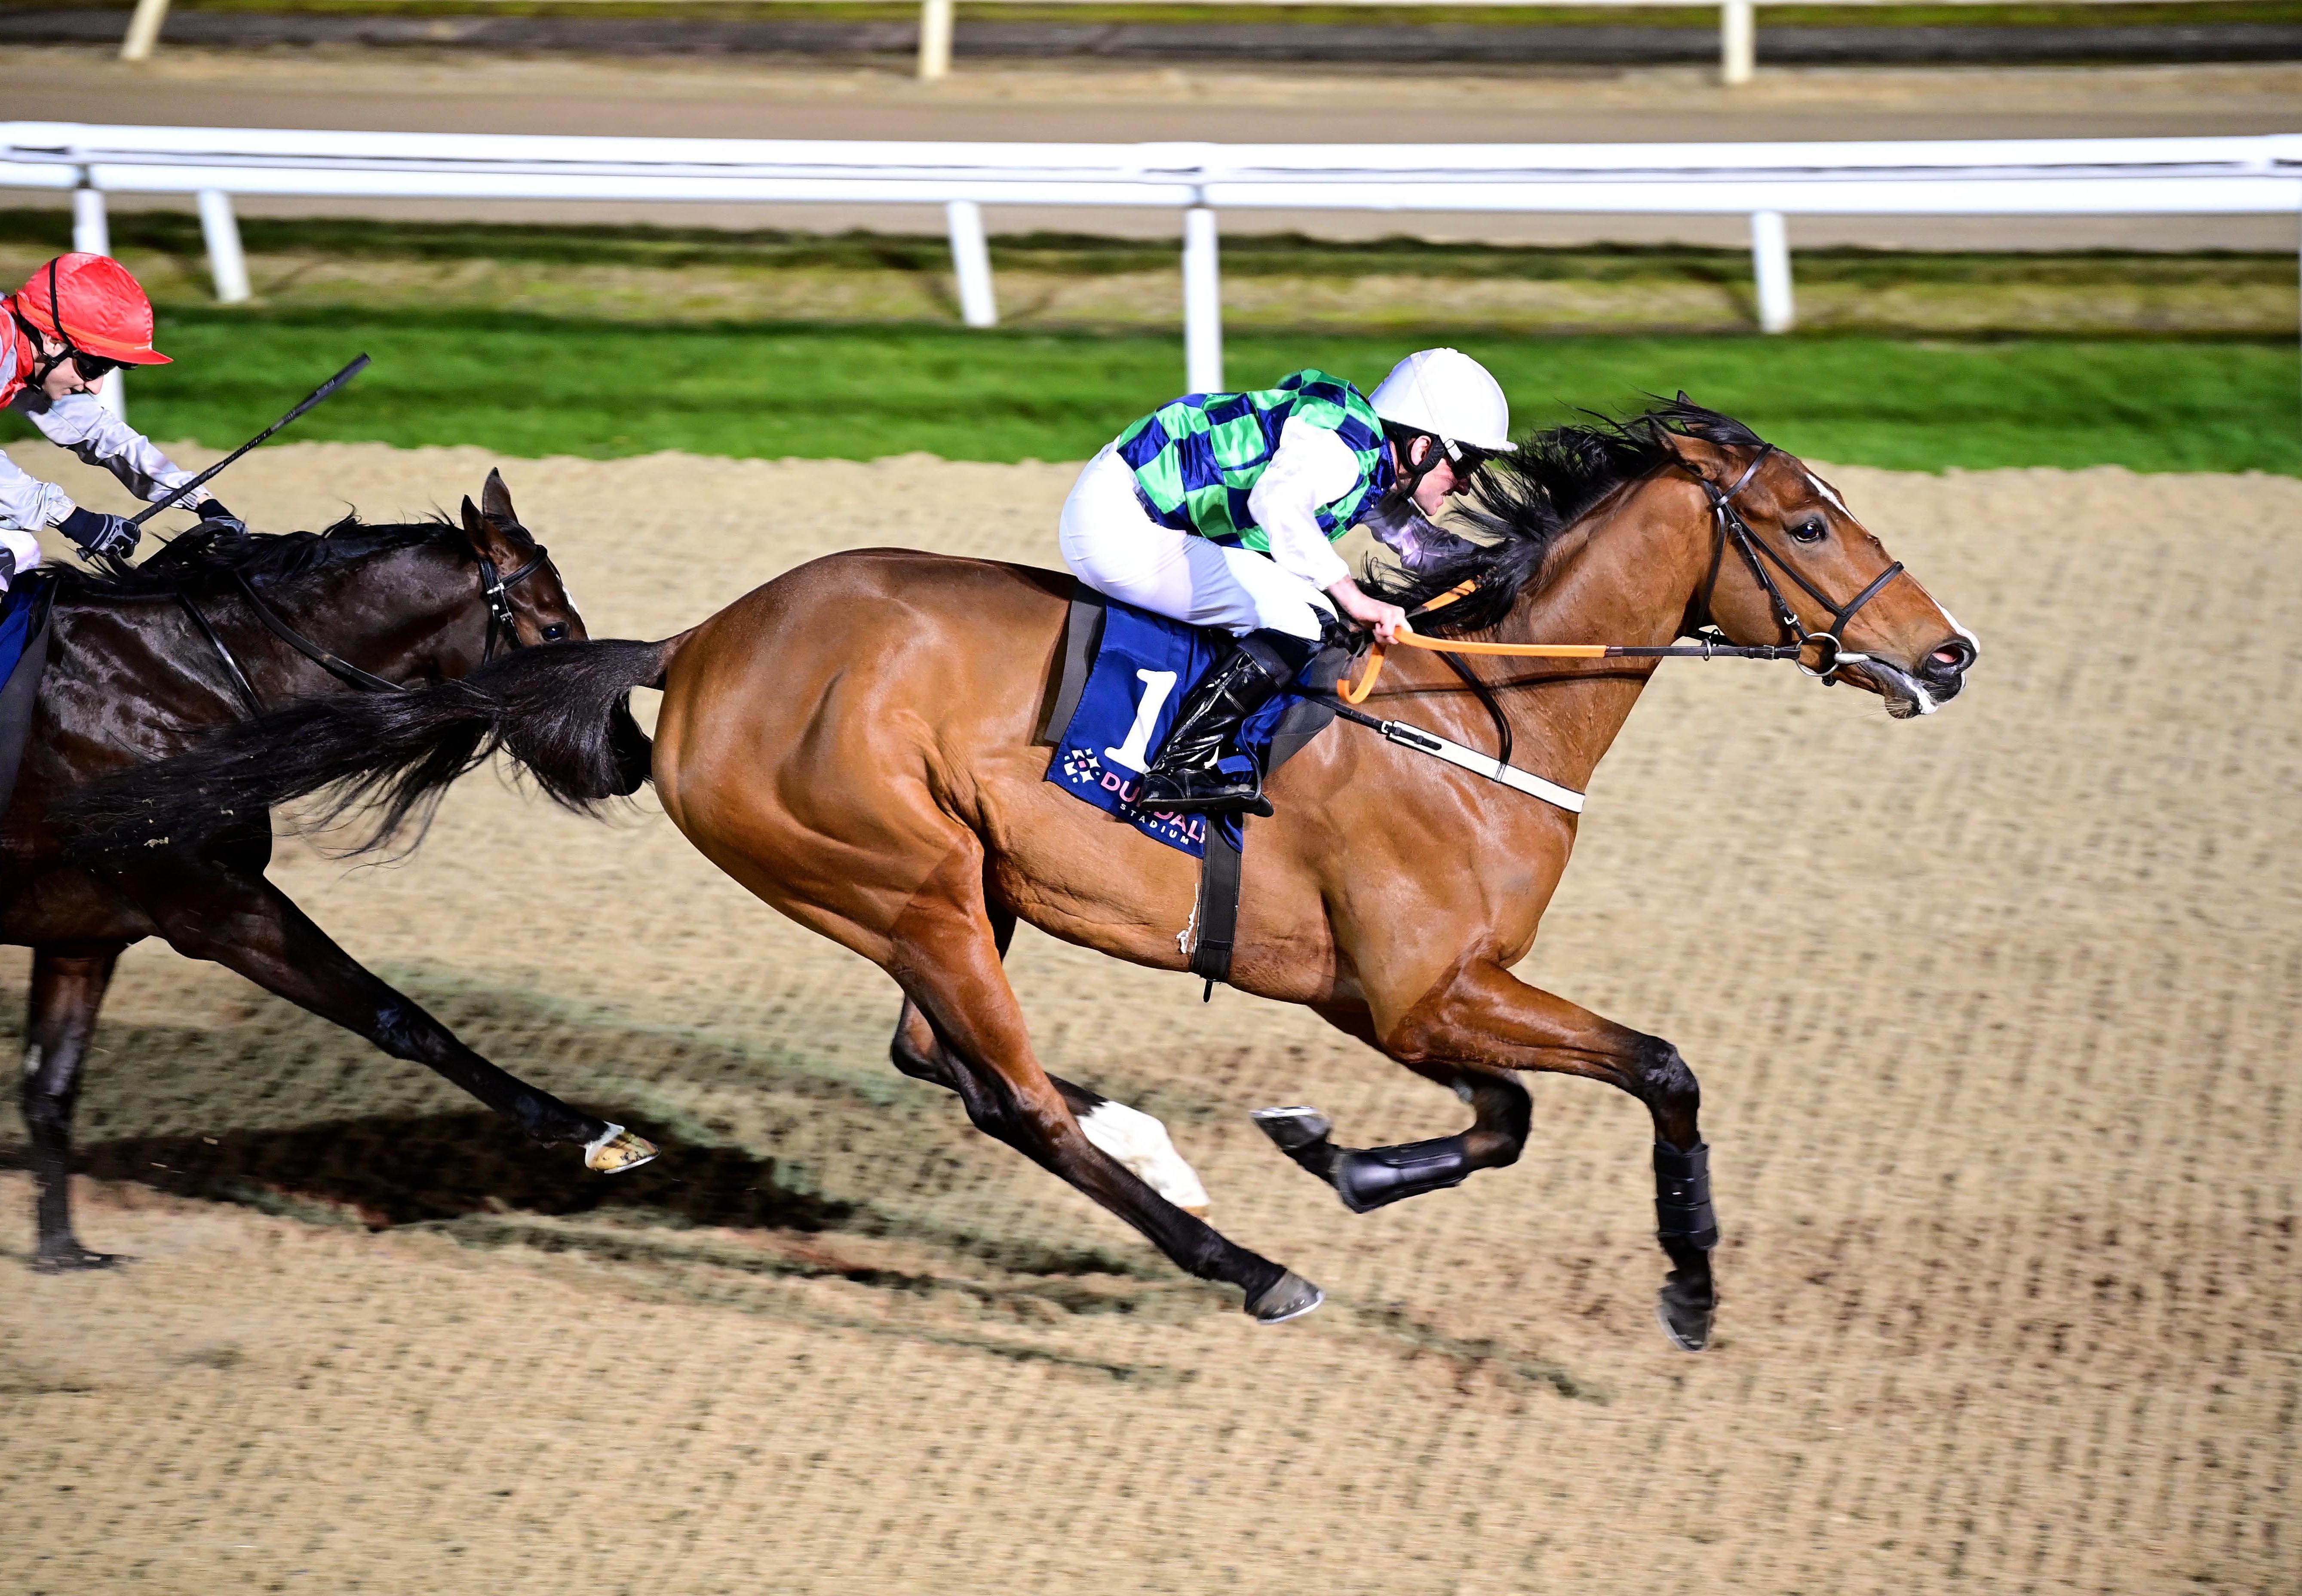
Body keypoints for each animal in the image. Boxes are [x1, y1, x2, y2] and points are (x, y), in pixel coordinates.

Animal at [4, 471, 662, 1271]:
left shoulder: (84, 934)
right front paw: (593, 1133)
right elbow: (396, 1015)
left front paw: (64, 1251)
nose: (631, 755)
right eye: (556, 631)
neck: (170, 680)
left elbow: (50, 1088)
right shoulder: (210, 904)